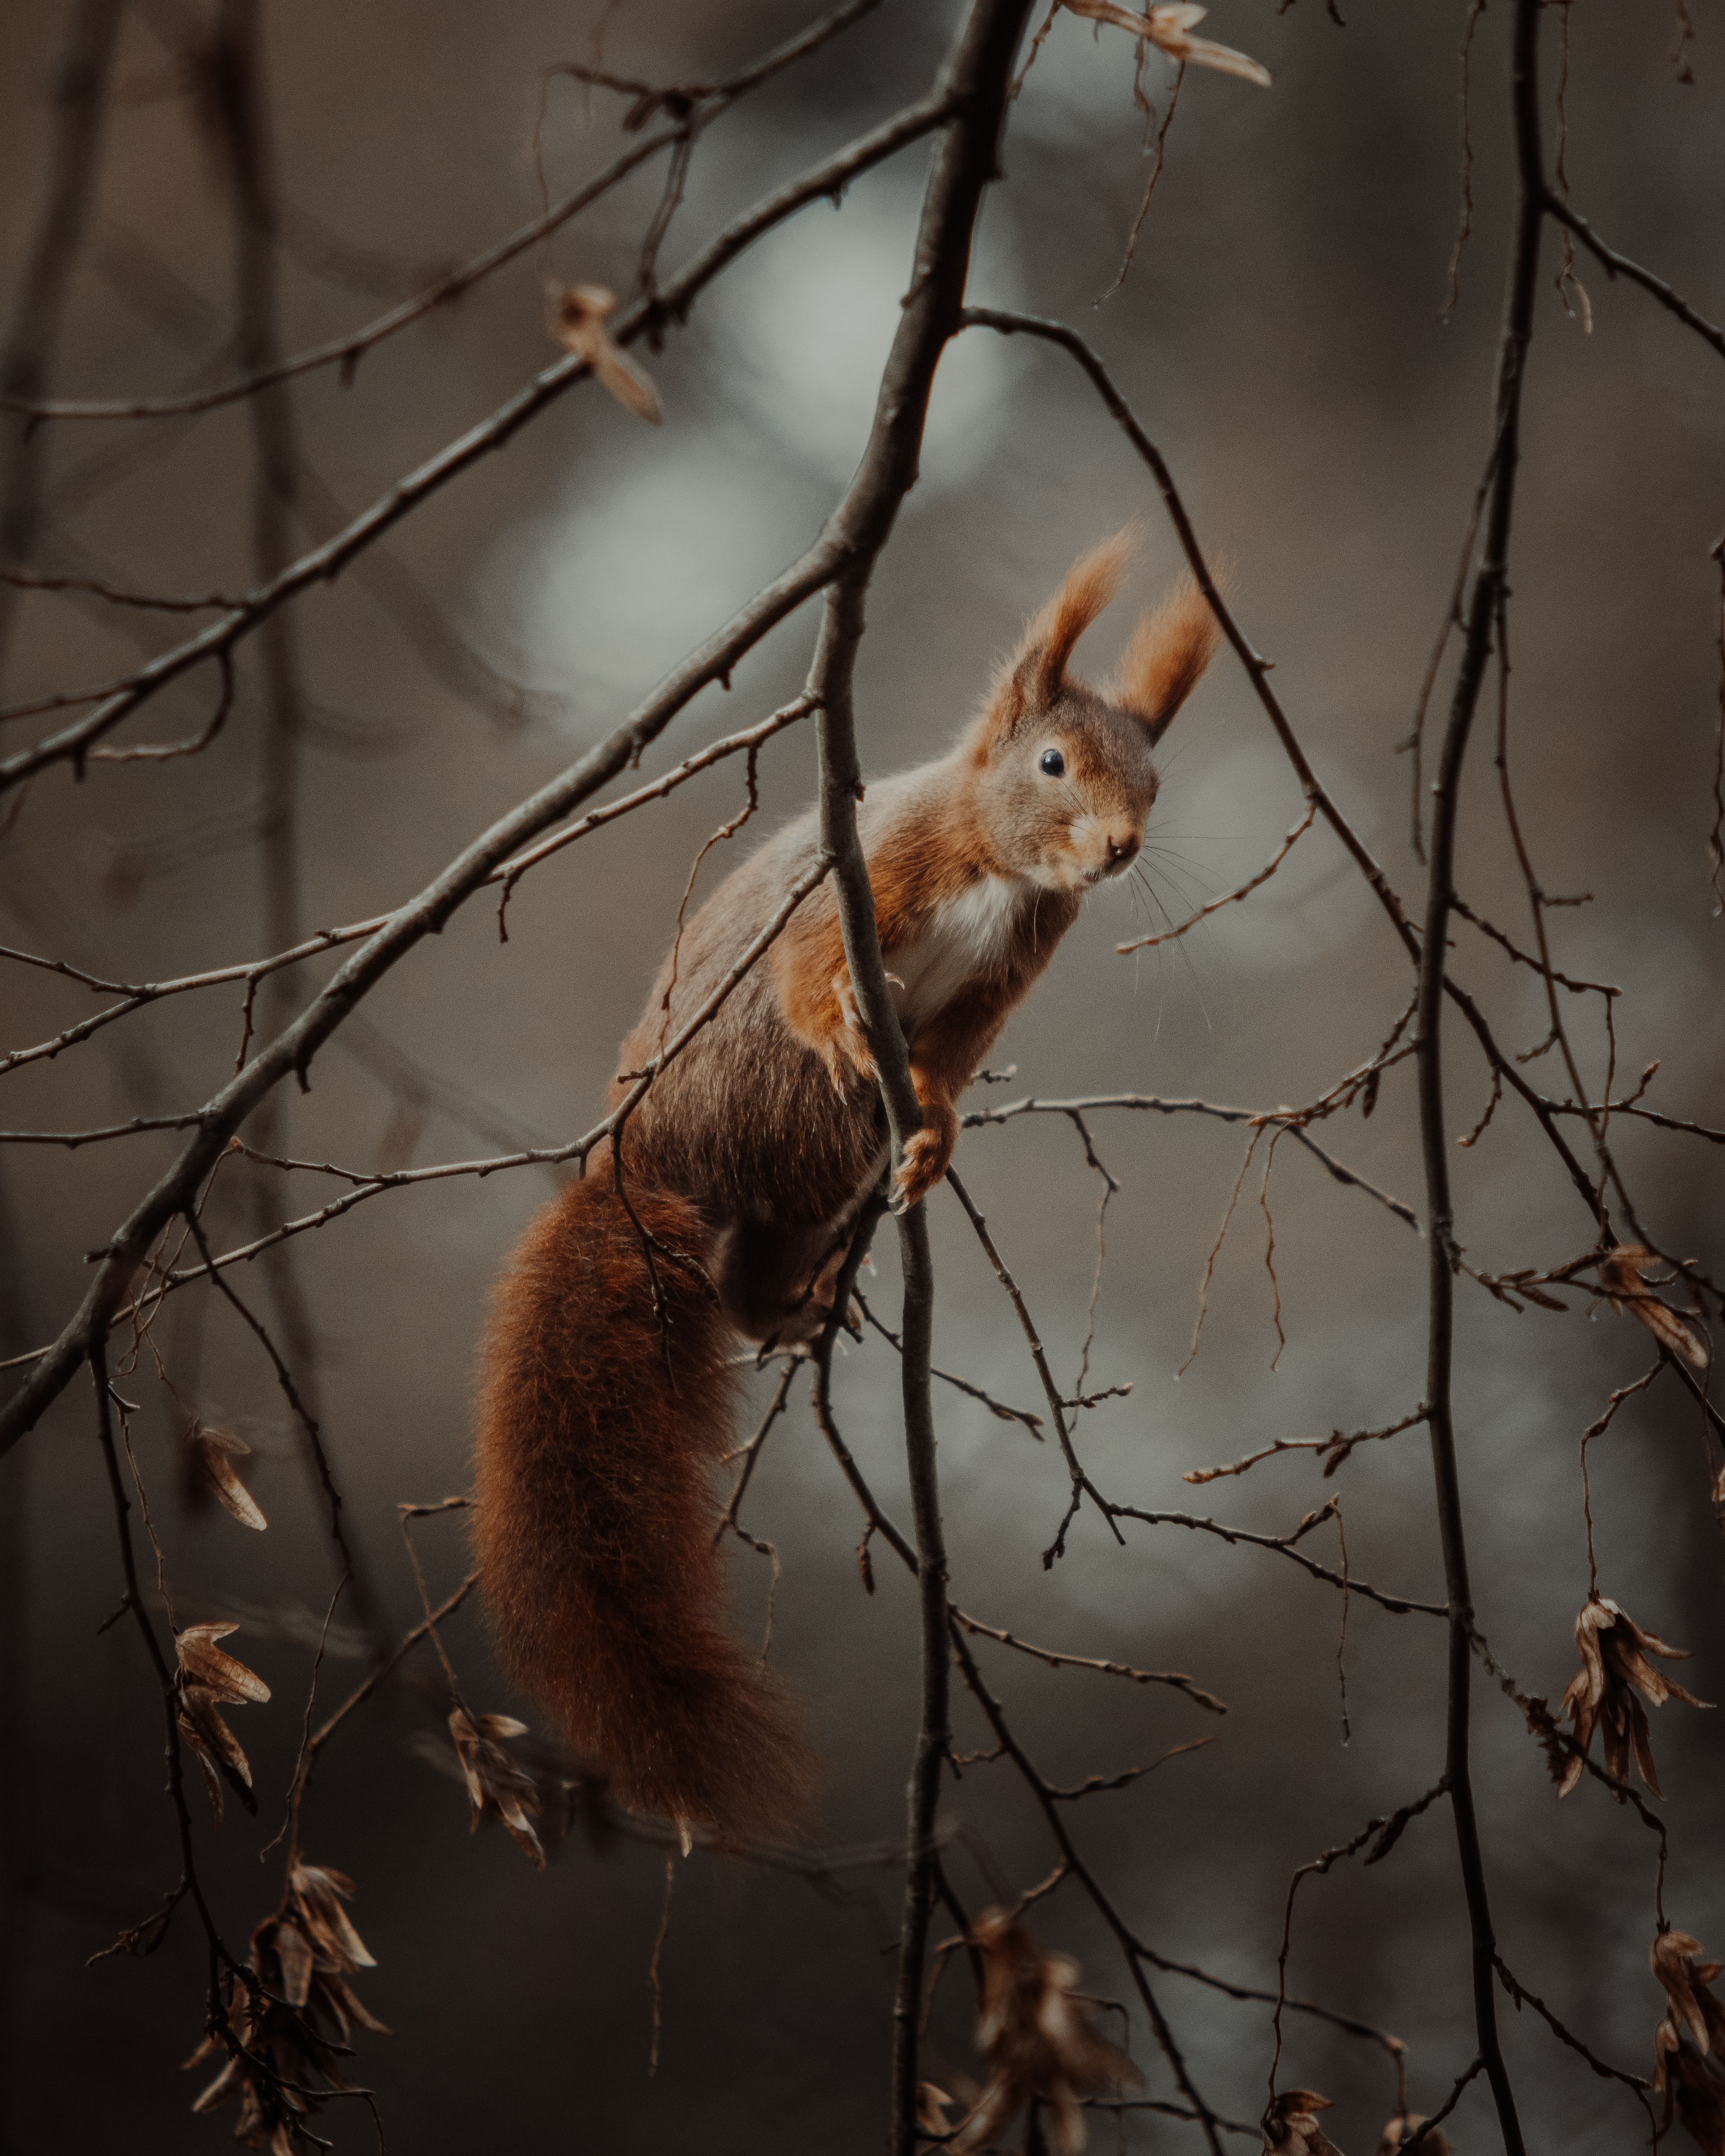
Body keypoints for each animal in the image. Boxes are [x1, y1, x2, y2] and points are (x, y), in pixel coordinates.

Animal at [473, 528, 1221, 1843]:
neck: (1000, 865)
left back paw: (799, 1293)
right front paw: (839, 1026)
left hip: (787, 1191)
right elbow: (811, 958)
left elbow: (950, 1065)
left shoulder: (1005, 978)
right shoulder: (865, 873)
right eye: (1050, 761)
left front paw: (938, 1132)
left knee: (747, 1269)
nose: (1119, 850)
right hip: (777, 1101)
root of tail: (636, 1166)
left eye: (1154, 780)